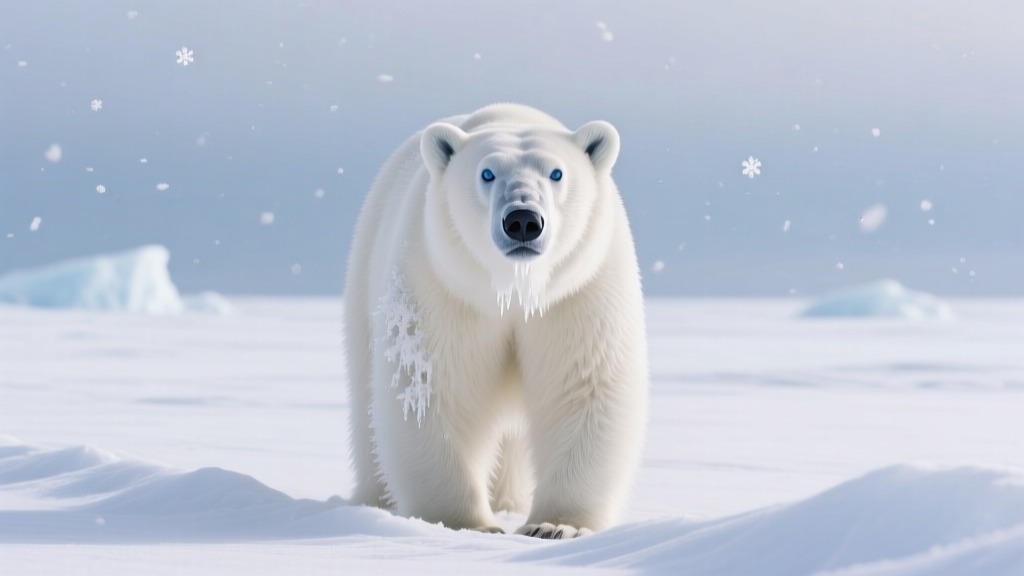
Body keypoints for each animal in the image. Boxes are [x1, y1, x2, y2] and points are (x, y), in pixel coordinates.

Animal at [344, 103, 648, 539]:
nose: (522, 220)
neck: (513, 289)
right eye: (486, 173)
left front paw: (556, 525)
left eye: (556, 173)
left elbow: (584, 387)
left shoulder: (579, 290)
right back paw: (376, 501)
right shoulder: (442, 286)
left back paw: (509, 502)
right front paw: (466, 524)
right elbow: (434, 388)